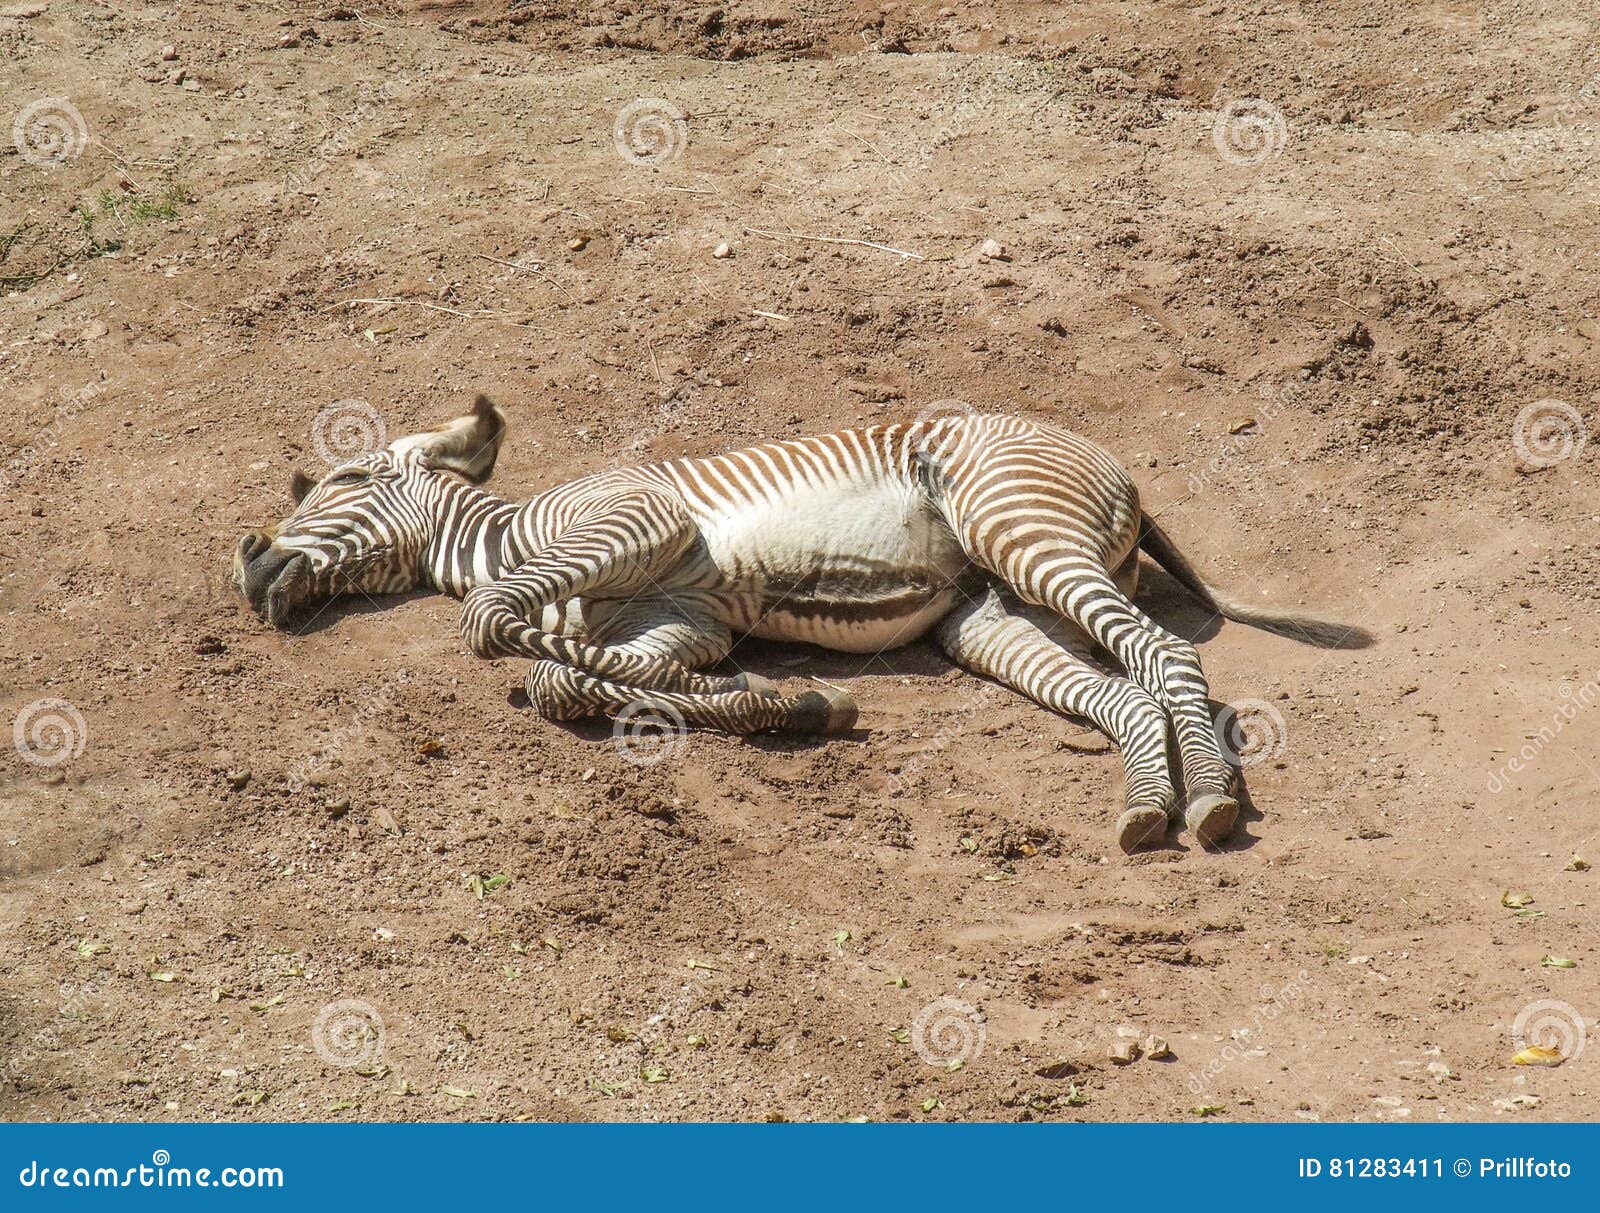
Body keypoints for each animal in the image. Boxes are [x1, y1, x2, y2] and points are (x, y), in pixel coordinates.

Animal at [235, 396, 1370, 853]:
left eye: (341, 478)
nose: (249, 561)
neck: (510, 531)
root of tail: (1106, 459)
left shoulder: (634, 521)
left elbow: (489, 623)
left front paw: (784, 695)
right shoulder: (682, 621)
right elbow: (569, 675)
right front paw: (784, 699)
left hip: (1018, 523)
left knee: (1164, 649)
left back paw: (1212, 798)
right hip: (985, 615)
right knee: (1122, 690)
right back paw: (1152, 804)